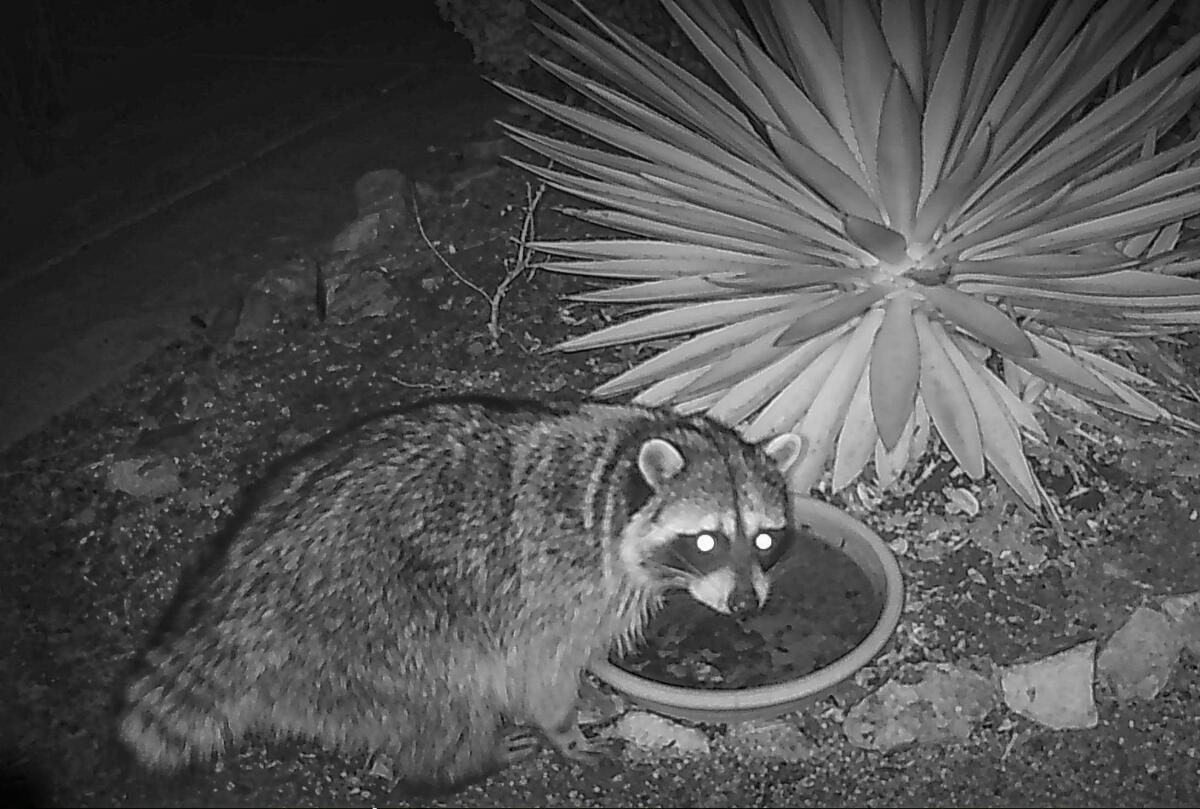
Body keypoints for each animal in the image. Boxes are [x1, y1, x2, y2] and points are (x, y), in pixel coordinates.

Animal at [117, 394, 803, 790]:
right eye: (707, 541)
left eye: (766, 539)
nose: (746, 605)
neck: (612, 483)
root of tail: (232, 598)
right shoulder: (552, 585)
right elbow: (539, 668)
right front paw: (565, 728)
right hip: (359, 627)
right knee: (439, 694)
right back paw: (464, 761)